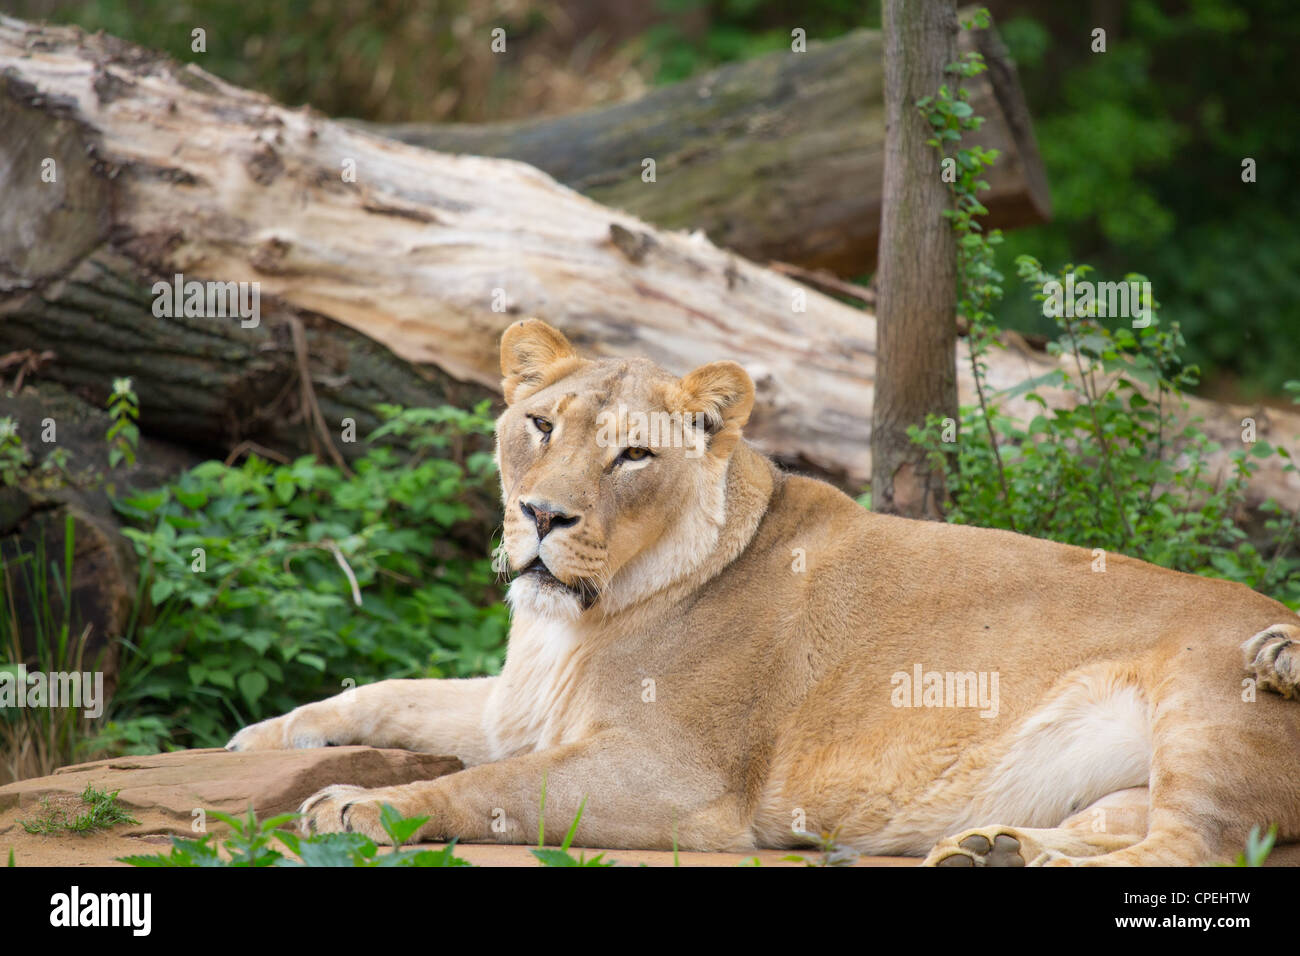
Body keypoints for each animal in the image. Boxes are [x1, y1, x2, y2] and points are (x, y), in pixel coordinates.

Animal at [228, 318, 1300, 865]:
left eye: (631, 455)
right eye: (539, 423)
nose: (541, 516)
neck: (570, 627)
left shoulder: (676, 783)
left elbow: (487, 788)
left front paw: (358, 810)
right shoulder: (512, 709)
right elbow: (388, 695)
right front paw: (266, 738)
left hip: (1212, 700)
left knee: (1192, 850)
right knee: (1127, 830)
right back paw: (992, 849)